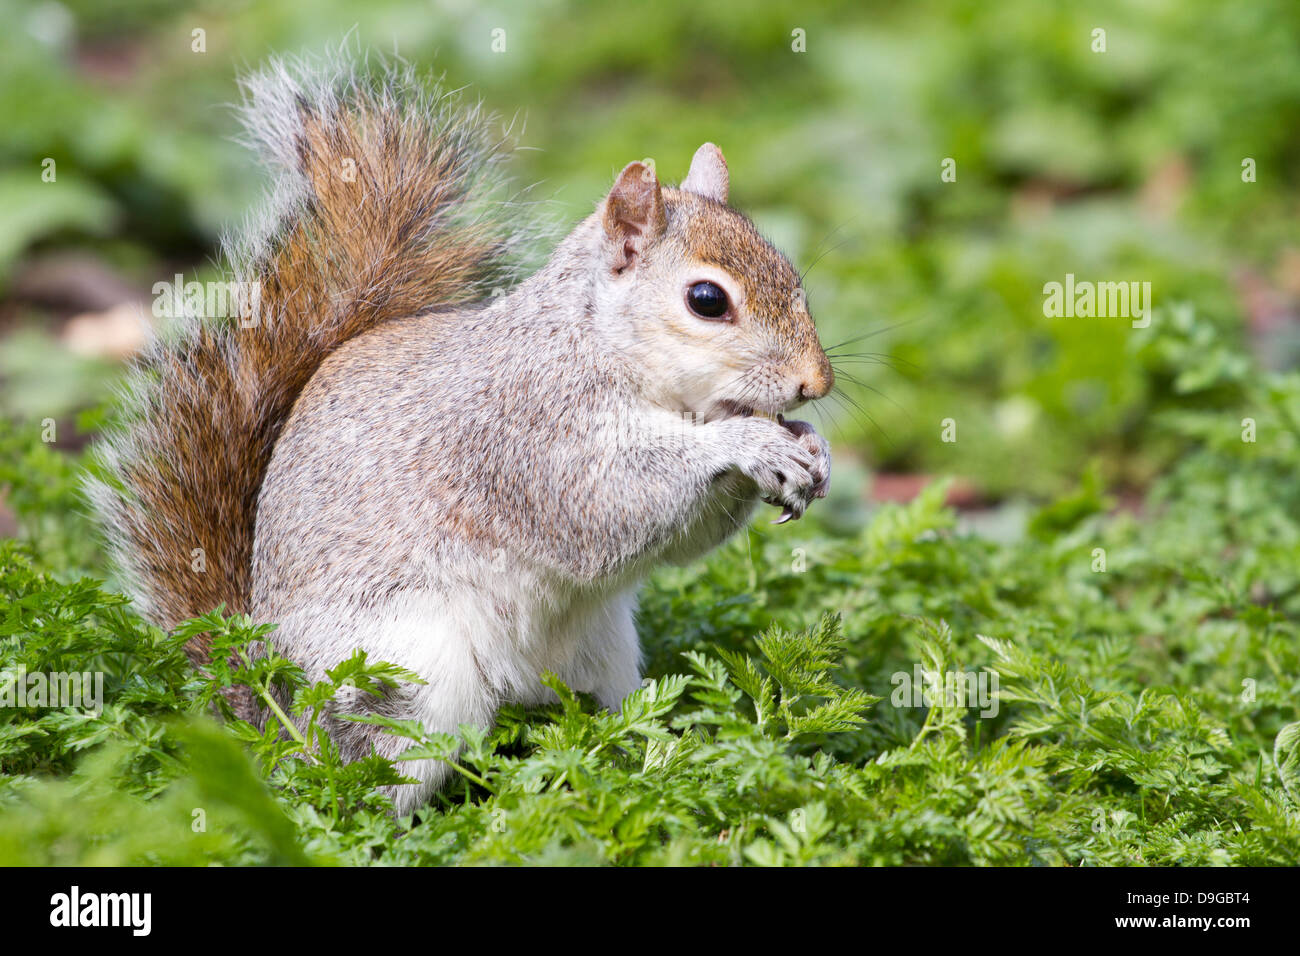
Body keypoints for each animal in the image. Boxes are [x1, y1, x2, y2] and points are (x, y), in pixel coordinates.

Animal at [87, 52, 835, 815]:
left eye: (792, 274)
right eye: (706, 300)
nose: (815, 383)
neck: (601, 348)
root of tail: (277, 721)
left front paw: (808, 445)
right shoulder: (527, 437)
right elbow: (607, 510)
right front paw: (750, 445)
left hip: (603, 658)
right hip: (401, 679)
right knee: (362, 785)